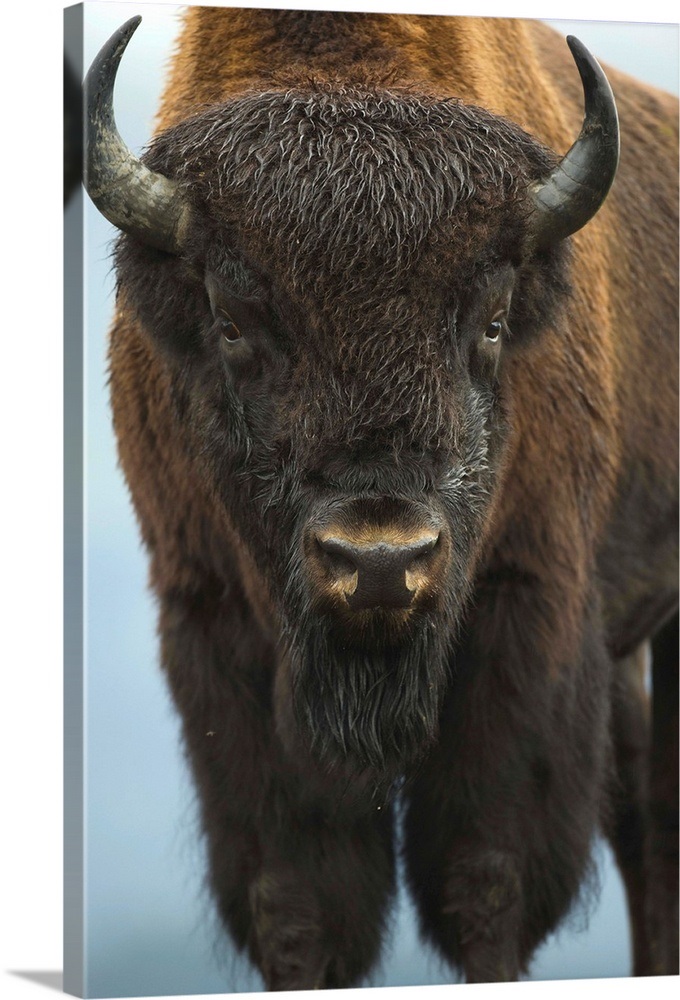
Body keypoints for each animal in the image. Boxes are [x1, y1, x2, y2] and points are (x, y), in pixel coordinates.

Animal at [83, 7, 679, 990]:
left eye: (493, 320)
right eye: (231, 321)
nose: (379, 563)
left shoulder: (528, 607)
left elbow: (487, 879)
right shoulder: (218, 628)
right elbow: (297, 900)